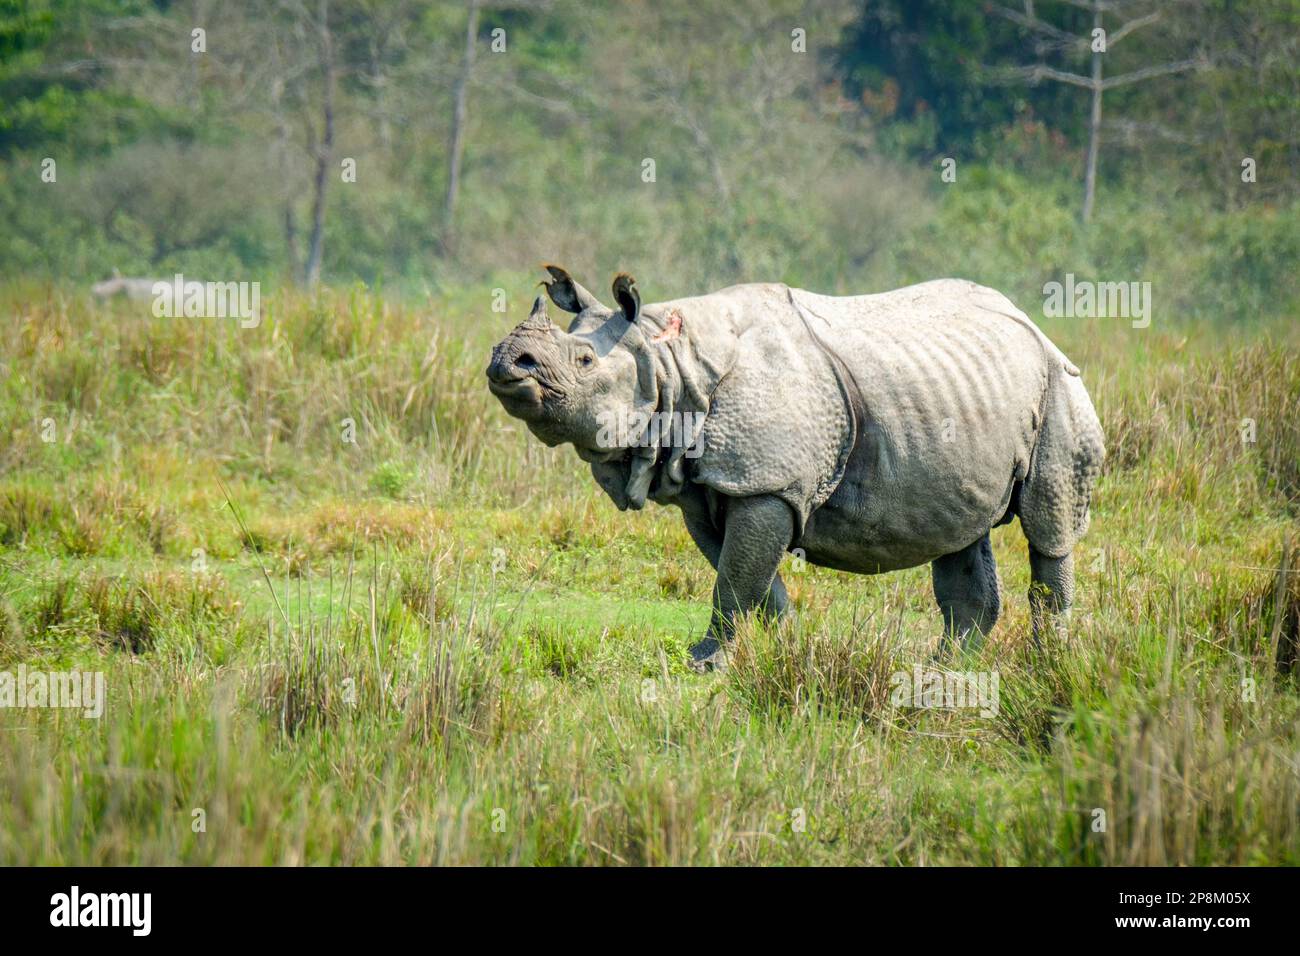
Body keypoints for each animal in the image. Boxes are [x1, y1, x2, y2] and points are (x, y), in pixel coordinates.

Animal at [487, 266, 1104, 670]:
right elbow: (746, 575)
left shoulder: (767, 482)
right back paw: (945, 670)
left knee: (1049, 529)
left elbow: (736, 577)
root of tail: (1034, 324)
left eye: (585, 360)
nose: (505, 363)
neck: (667, 359)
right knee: (959, 531)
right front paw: (782, 647)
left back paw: (1047, 664)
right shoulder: (710, 490)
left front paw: (705, 663)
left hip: (1060, 384)